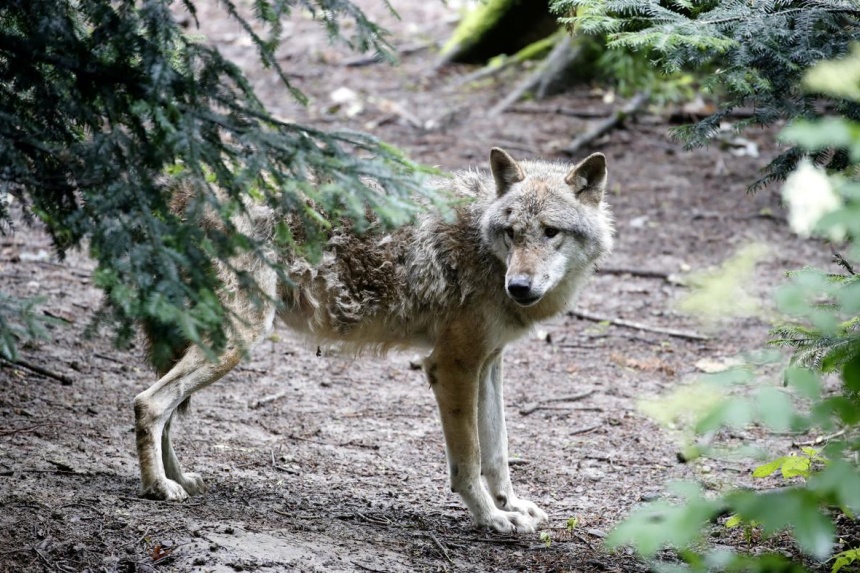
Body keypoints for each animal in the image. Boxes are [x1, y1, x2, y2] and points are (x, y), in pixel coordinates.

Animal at [133, 147, 614, 533]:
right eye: (512, 233)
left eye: (550, 231)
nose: (519, 287)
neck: (483, 247)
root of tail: (178, 190)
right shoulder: (451, 365)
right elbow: (470, 460)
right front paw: (491, 519)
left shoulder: (489, 363)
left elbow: (498, 453)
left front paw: (510, 506)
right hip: (236, 340)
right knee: (149, 403)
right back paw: (158, 487)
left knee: (166, 408)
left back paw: (179, 478)